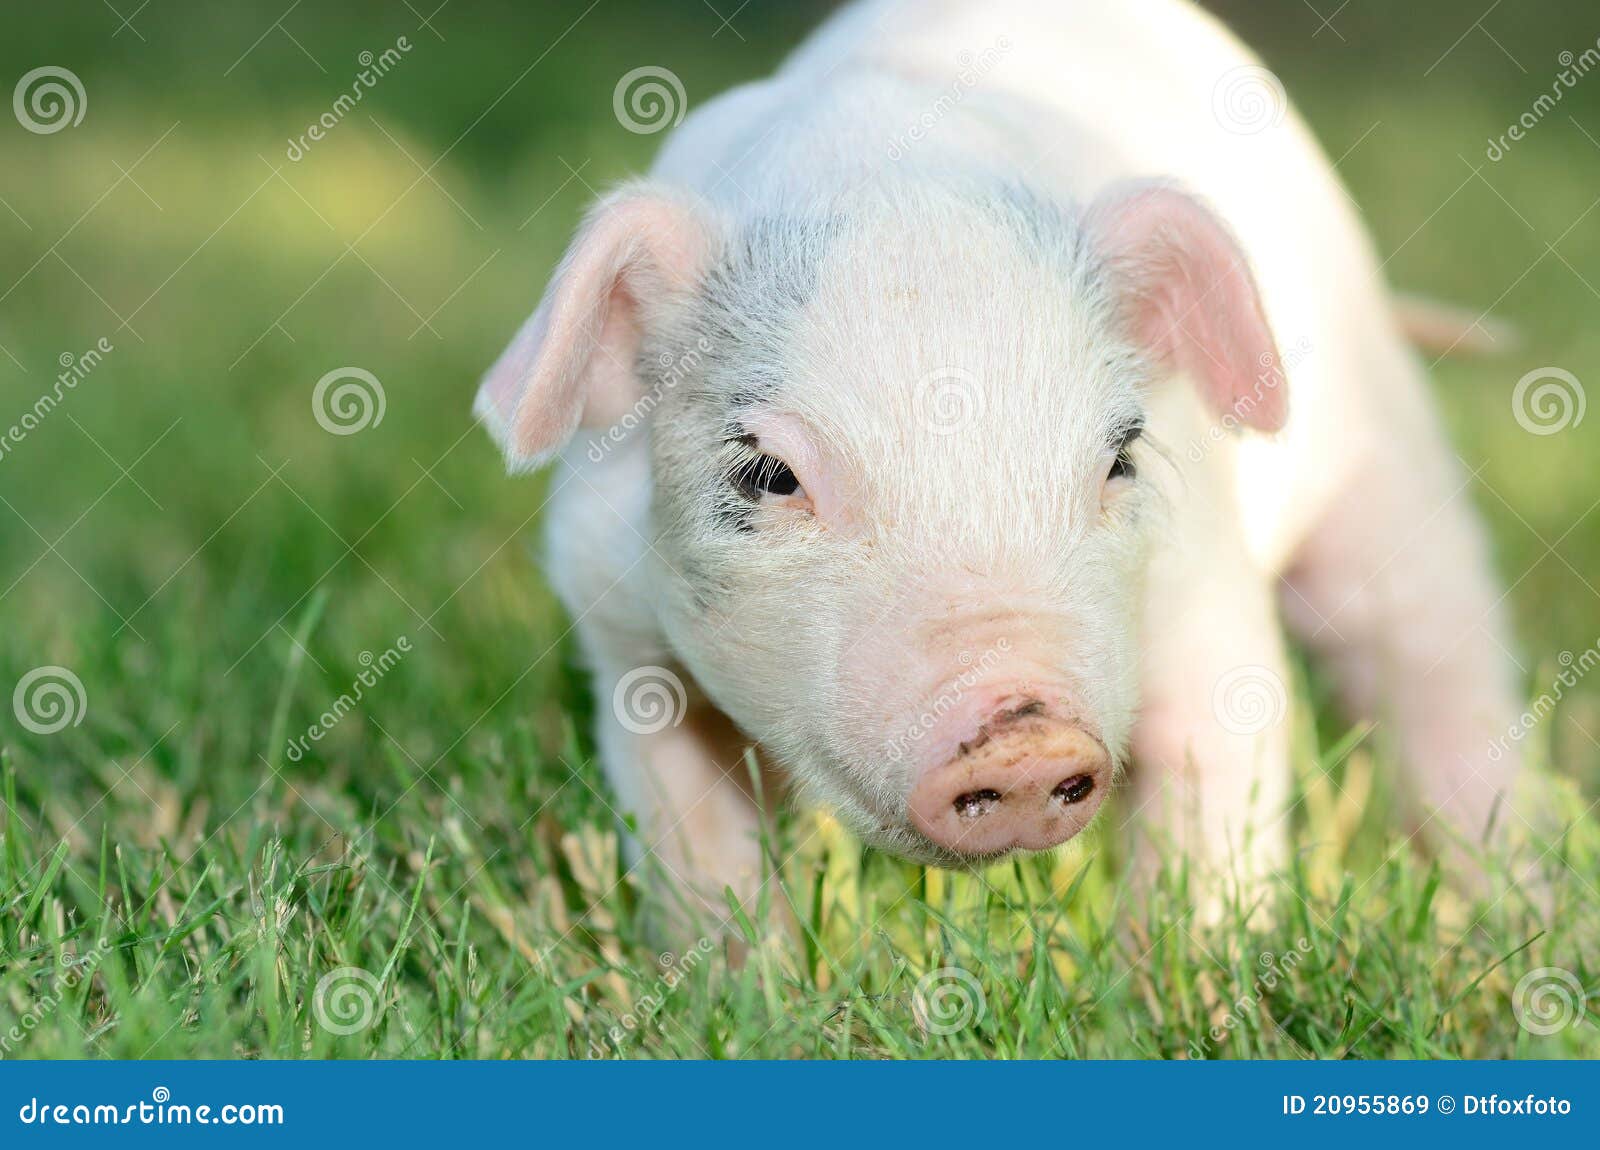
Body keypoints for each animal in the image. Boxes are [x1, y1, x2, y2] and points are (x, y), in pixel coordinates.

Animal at [475, 0, 1522, 927]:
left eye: (1120, 459)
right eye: (769, 475)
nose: (1022, 734)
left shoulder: (1207, 590)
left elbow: (1212, 811)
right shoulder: (617, 629)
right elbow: (696, 851)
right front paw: (736, 983)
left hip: (1382, 445)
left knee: (1438, 655)